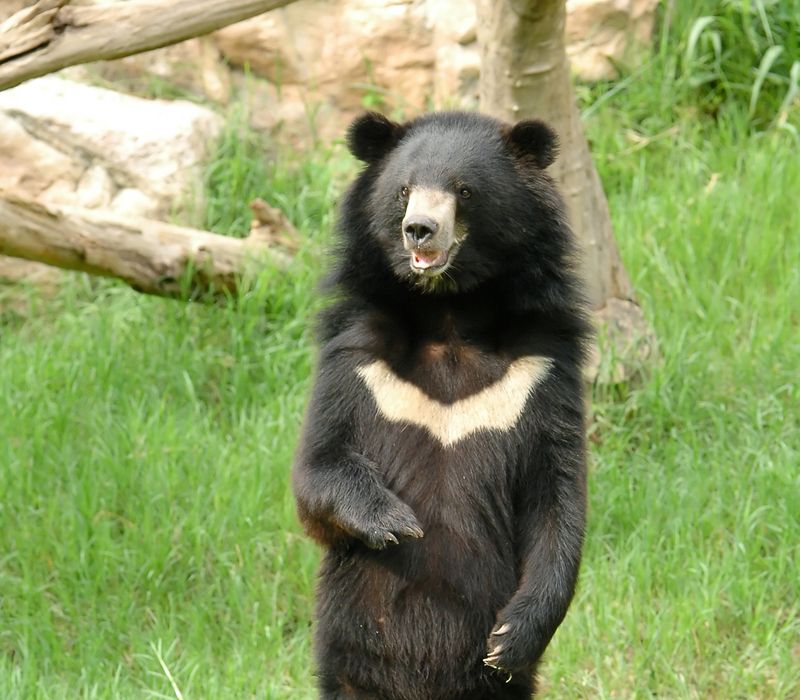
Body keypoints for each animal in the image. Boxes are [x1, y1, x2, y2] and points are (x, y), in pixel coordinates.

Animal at [292, 111, 591, 700]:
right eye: (404, 190)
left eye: (464, 191)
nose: (420, 229)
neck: (450, 313)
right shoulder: (354, 358)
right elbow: (317, 469)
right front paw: (396, 523)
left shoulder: (543, 370)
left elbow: (557, 502)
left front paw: (509, 639)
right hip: (348, 649)